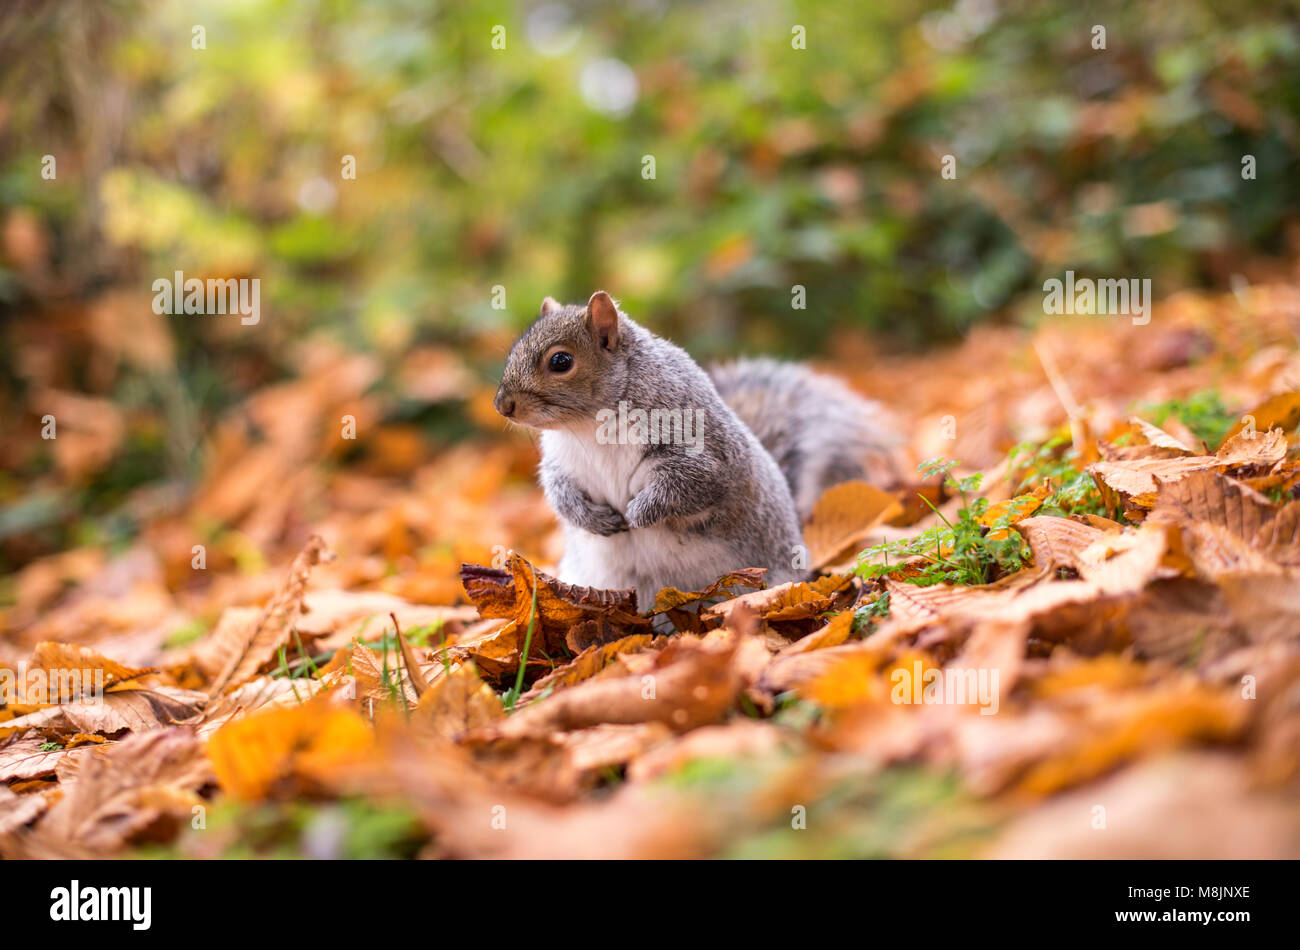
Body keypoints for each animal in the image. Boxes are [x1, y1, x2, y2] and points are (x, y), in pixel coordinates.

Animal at [493, 291, 898, 611]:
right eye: (514, 350)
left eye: (561, 361)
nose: (502, 405)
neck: (587, 426)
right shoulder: (563, 463)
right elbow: (559, 493)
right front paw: (594, 519)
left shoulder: (700, 446)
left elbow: (691, 485)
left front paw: (639, 514)